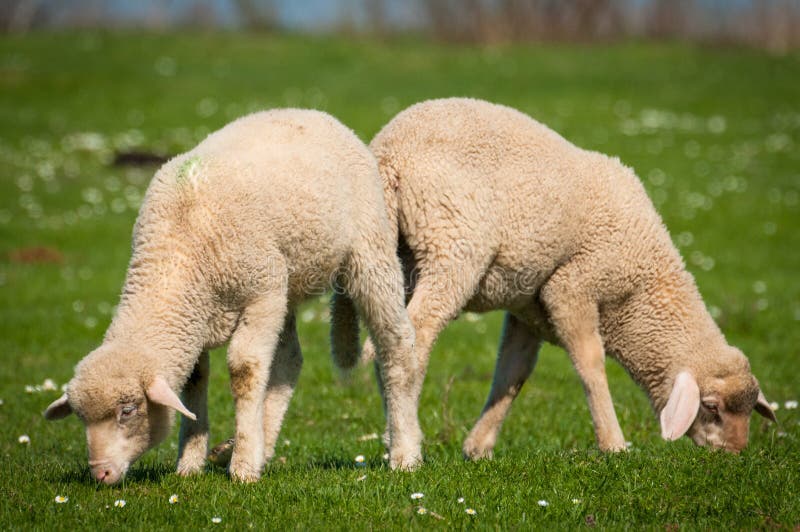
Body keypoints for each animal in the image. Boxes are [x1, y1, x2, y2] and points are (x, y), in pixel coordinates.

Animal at [44, 109, 420, 484]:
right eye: (81, 418)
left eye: (128, 410)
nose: (100, 473)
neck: (176, 252)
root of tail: (311, 113)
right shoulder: (196, 318)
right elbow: (196, 381)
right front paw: (190, 463)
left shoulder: (260, 294)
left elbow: (245, 369)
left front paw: (242, 467)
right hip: (286, 283)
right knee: (289, 361)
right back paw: (262, 444)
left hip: (367, 251)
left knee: (396, 341)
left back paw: (405, 454)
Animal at [334, 97, 776, 460]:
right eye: (712, 407)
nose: (734, 454)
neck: (641, 291)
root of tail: (390, 153)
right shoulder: (572, 286)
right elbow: (591, 362)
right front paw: (613, 444)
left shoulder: (528, 310)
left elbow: (512, 373)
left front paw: (479, 446)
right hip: (453, 247)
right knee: (414, 338)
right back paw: (403, 446)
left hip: (393, 257)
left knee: (389, 340)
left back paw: (395, 433)